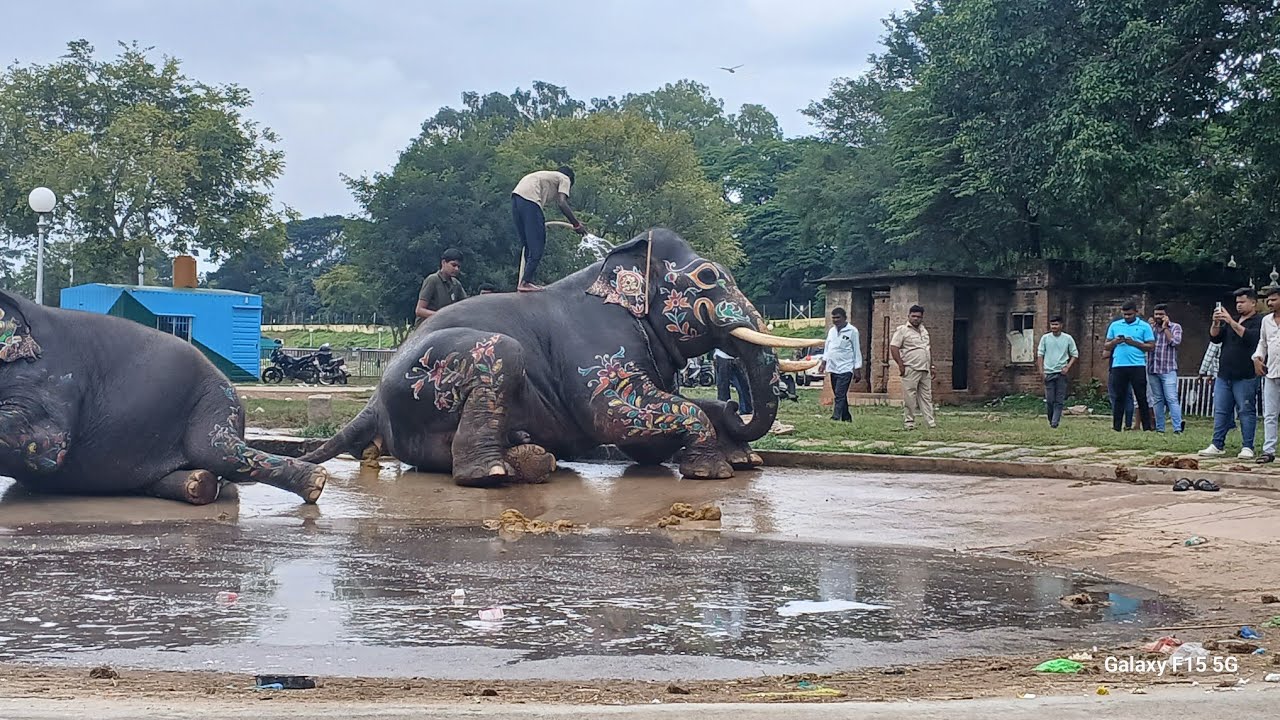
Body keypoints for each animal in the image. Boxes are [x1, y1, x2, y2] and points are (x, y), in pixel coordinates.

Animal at [0, 290, 328, 505]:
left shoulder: (51, 373)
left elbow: (49, 444)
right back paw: (198, 484)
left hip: (216, 402)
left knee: (214, 450)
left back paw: (316, 483)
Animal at [301, 228, 815, 486]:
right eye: (708, 277)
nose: (735, 404)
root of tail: (372, 401)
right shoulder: (596, 346)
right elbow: (616, 416)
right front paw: (714, 472)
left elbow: (653, 428)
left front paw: (743, 458)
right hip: (435, 374)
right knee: (500, 354)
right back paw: (499, 472)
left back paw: (534, 457)